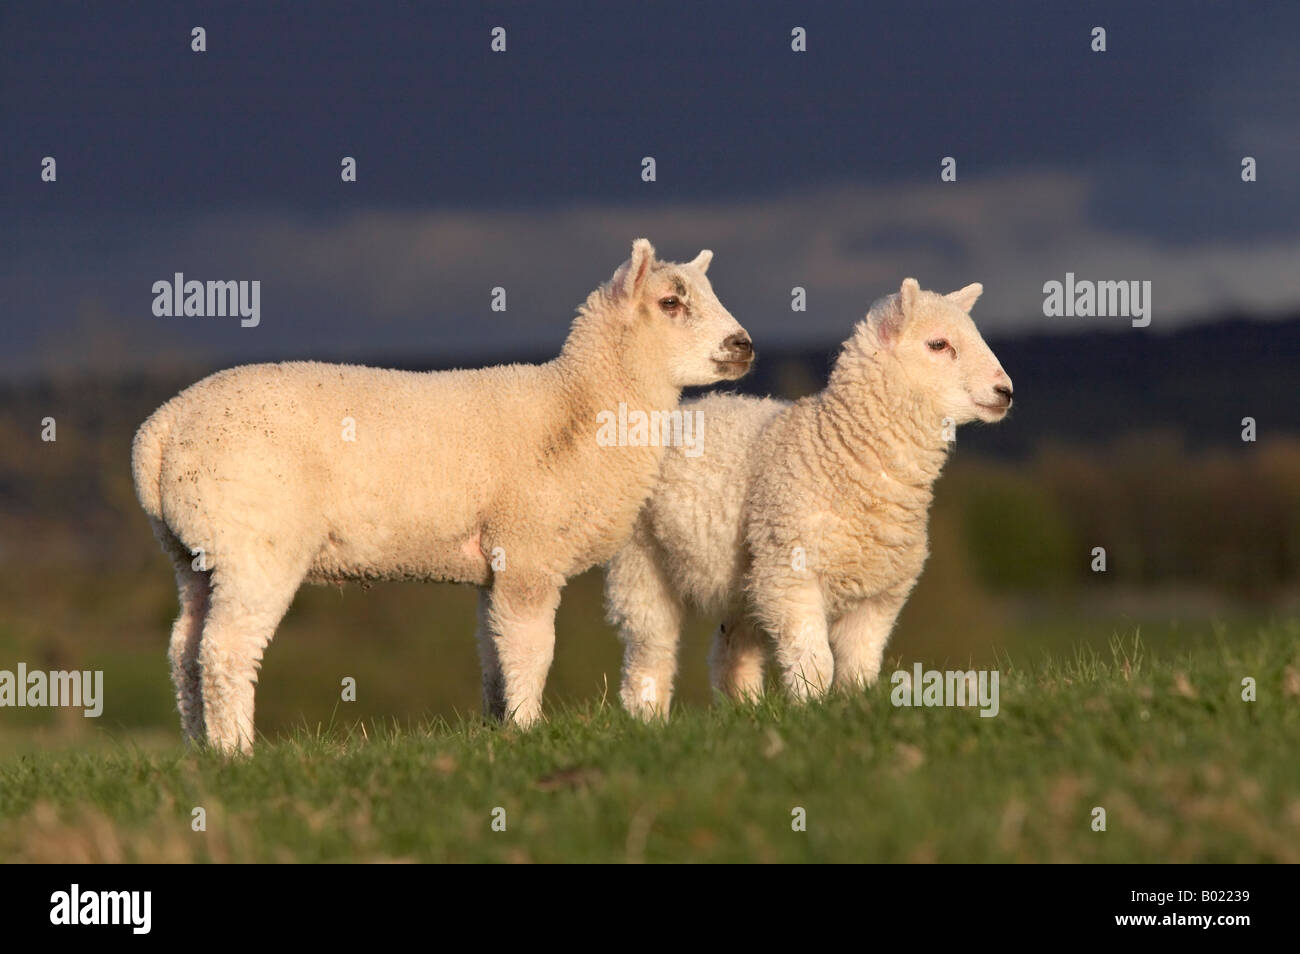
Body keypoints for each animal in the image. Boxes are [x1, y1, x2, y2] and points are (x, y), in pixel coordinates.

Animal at [132, 239, 754, 751]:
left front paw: (501, 725)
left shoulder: (496, 561)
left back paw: (199, 749)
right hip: (254, 543)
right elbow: (532, 649)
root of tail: (160, 434)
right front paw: (529, 731)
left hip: (192, 552)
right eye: (670, 302)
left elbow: (493, 655)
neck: (577, 409)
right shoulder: (527, 552)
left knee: (184, 649)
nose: (743, 345)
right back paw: (236, 753)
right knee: (225, 651)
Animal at [605, 278, 1012, 718]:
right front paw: (810, 710)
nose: (1005, 391)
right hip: (639, 559)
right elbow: (816, 661)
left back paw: (745, 710)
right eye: (938, 344)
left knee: (732, 650)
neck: (836, 449)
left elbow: (859, 665)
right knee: (651, 648)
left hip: (743, 575)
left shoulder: (878, 595)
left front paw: (852, 707)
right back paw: (647, 717)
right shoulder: (791, 576)